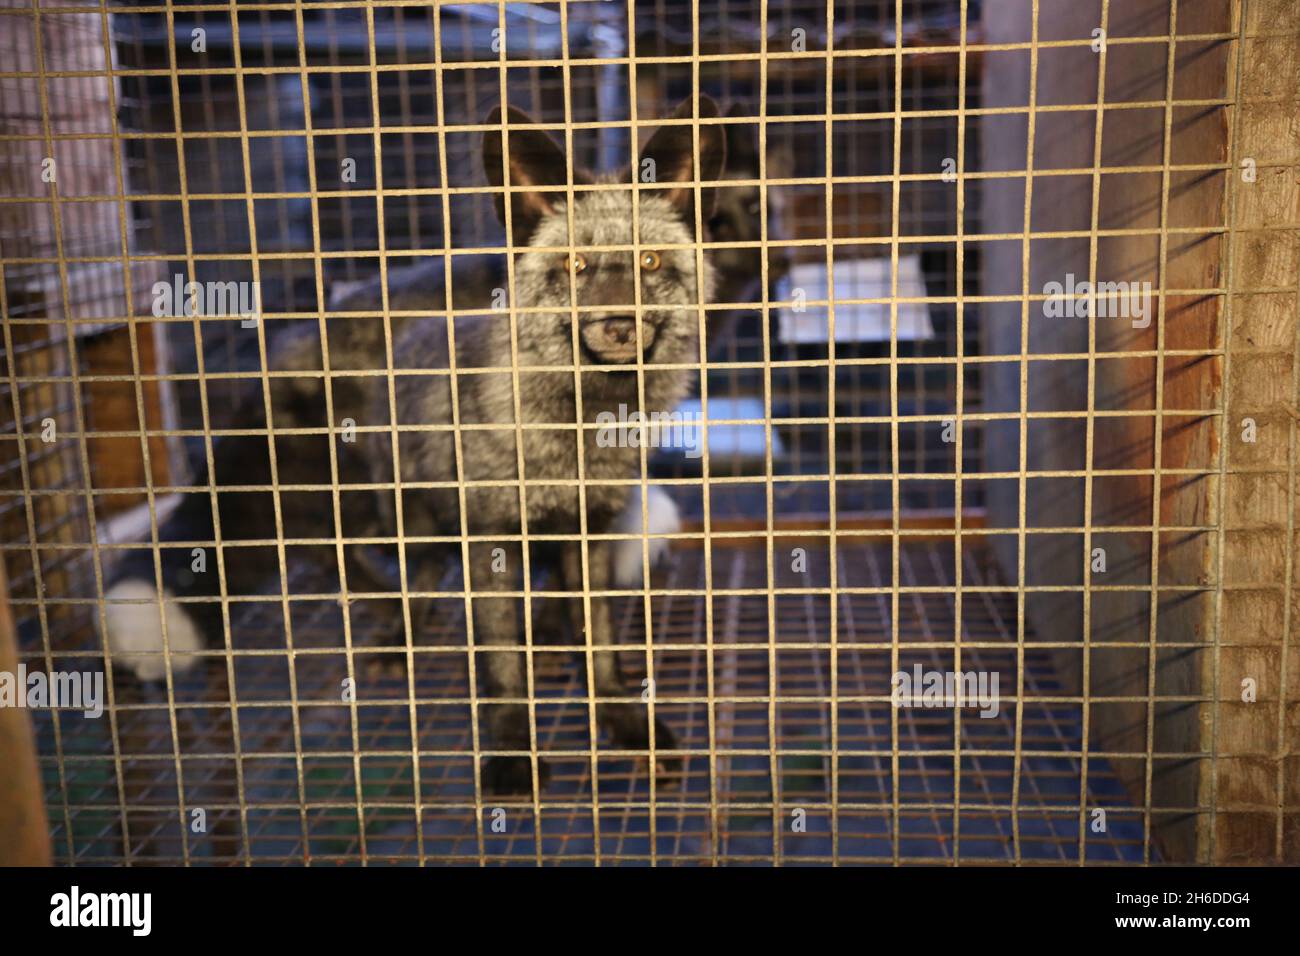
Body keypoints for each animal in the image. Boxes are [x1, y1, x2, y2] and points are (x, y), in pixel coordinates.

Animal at [100, 95, 726, 795]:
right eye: (574, 266)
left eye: (649, 263)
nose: (617, 326)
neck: (580, 427)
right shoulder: (489, 539)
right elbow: (500, 660)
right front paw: (512, 749)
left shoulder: (590, 527)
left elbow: (600, 642)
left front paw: (623, 719)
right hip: (390, 498)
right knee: (367, 554)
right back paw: (400, 629)